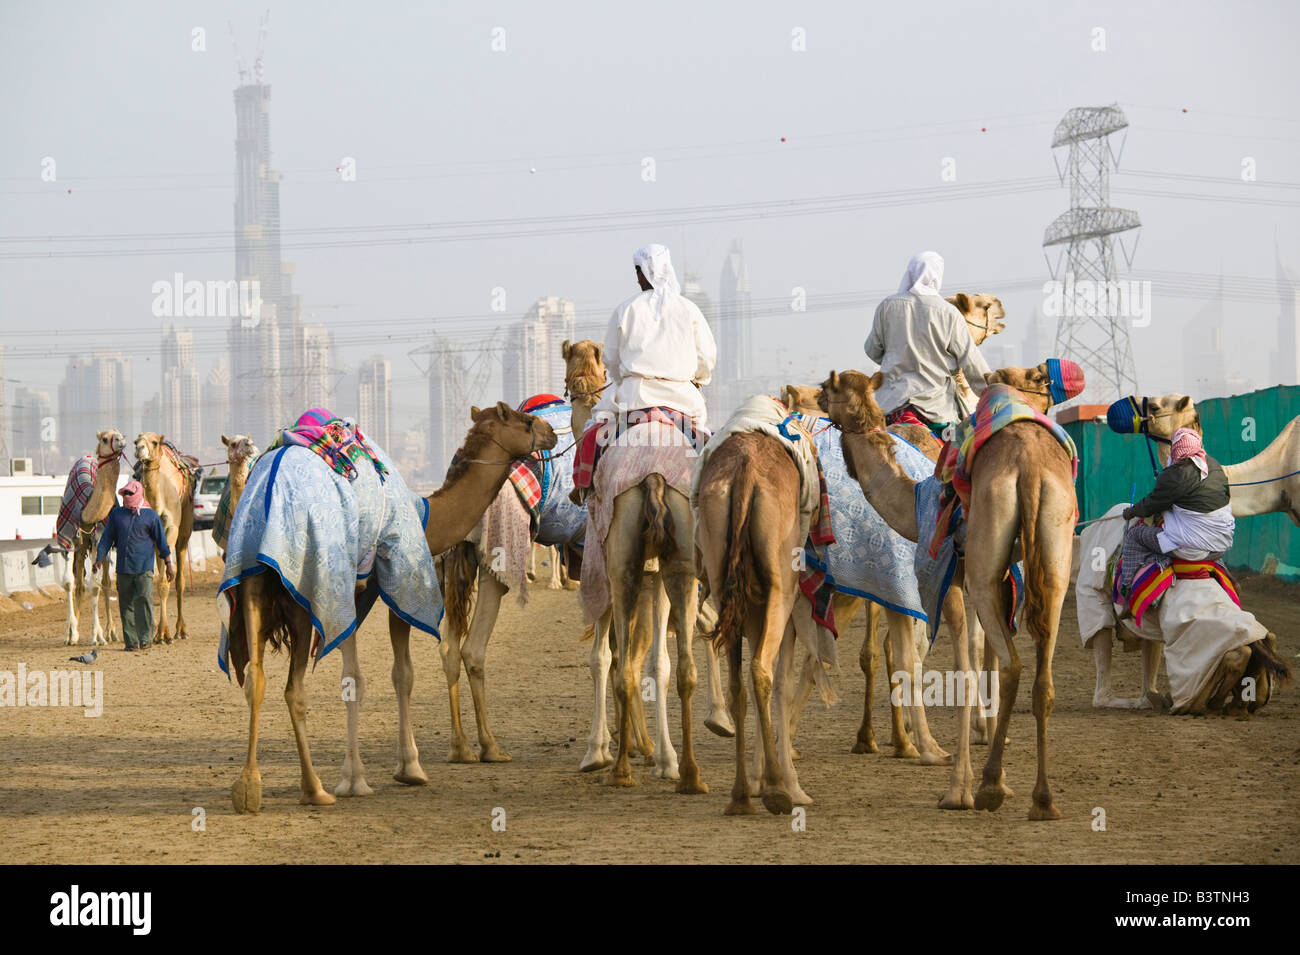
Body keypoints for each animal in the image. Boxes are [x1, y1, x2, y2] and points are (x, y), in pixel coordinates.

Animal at [63, 429, 125, 646]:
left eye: (120, 433)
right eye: (106, 439)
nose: (122, 441)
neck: (86, 512)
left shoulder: (99, 540)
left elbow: (96, 587)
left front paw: (97, 636)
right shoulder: (68, 537)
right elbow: (69, 582)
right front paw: (71, 633)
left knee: (105, 583)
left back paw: (111, 632)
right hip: (82, 547)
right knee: (80, 583)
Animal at [132, 433, 197, 644]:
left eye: (154, 443)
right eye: (136, 441)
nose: (139, 449)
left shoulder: (171, 527)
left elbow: (167, 580)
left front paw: (165, 634)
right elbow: (159, 582)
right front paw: (160, 633)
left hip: (185, 526)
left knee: (179, 580)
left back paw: (181, 630)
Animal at [226, 403, 557, 812]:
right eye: (526, 422)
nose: (551, 433)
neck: (426, 514)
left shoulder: (360, 593)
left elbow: (367, 677)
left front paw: (372, 773)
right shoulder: (384, 581)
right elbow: (394, 675)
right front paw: (390, 772)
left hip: (252, 585)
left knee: (255, 679)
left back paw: (247, 787)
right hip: (302, 598)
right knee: (294, 689)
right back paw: (314, 789)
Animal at [823, 365, 1076, 818]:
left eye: (824, 388)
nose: (814, 401)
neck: (912, 501)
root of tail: (1029, 467)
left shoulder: (952, 577)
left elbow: (966, 668)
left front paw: (960, 789)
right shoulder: (994, 579)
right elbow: (977, 662)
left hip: (983, 566)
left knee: (1009, 665)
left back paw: (986, 785)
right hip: (1054, 560)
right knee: (1038, 677)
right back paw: (1041, 800)